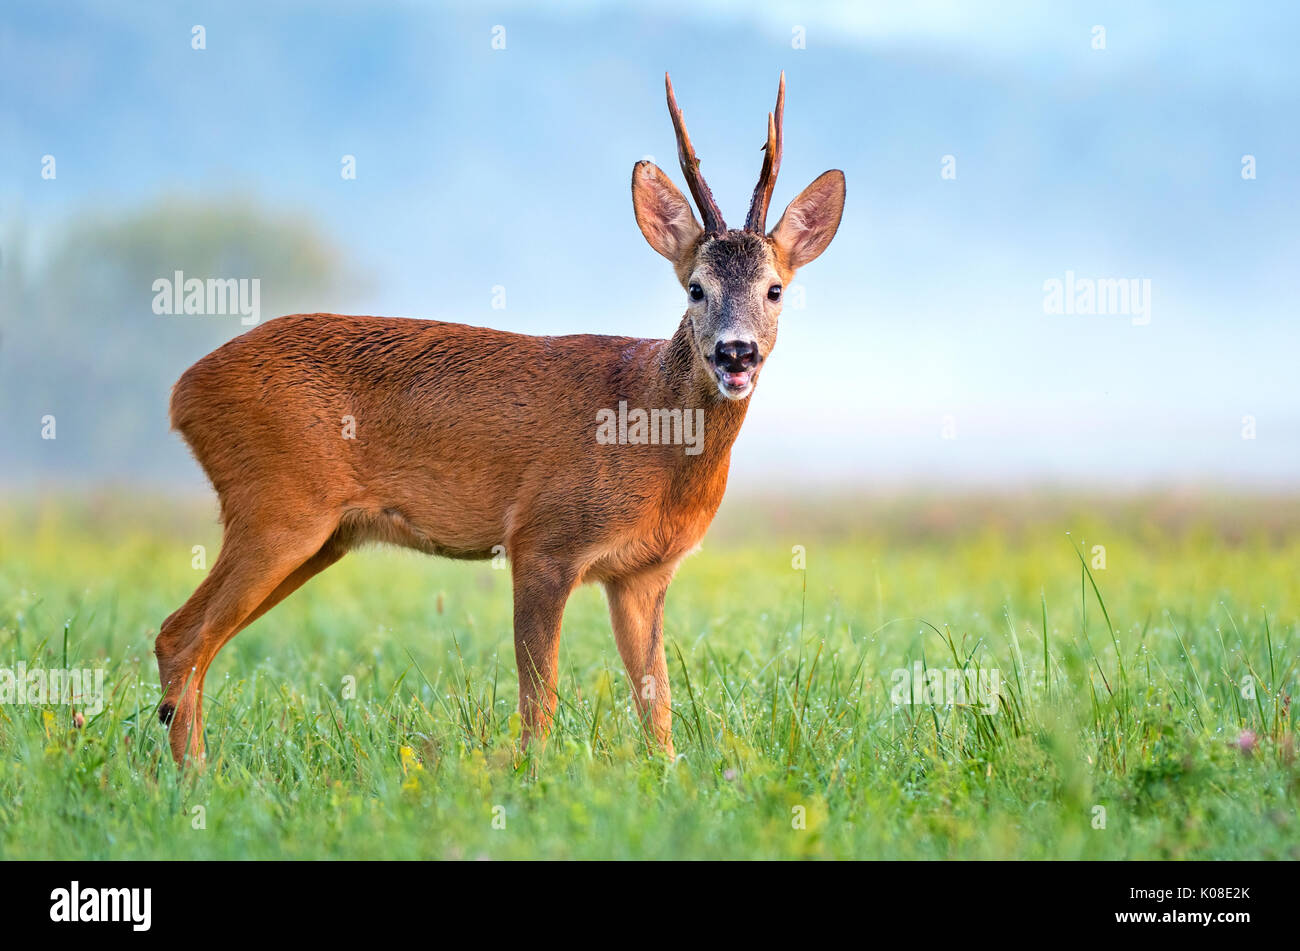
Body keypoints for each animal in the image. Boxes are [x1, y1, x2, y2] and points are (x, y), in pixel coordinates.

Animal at [155, 72, 845, 766]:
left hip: (323, 534)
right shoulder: (542, 537)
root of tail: (183, 391)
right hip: (277, 507)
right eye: (696, 288)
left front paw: (664, 771)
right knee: (179, 634)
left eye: (775, 289)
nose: (736, 352)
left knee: (194, 641)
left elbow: (657, 703)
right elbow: (539, 696)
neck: (649, 427)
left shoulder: (643, 572)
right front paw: (535, 776)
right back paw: (195, 777)